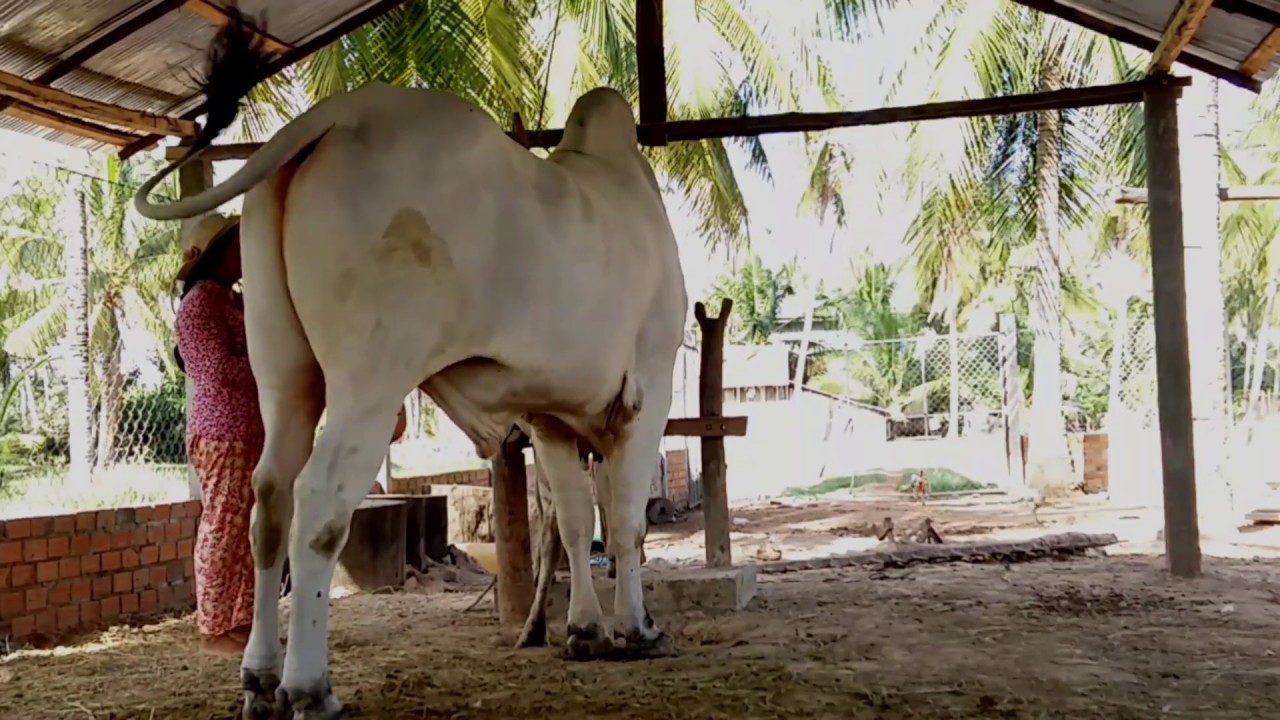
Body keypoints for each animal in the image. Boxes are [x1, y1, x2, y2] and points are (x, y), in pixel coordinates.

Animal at [131, 16, 687, 720]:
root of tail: (342, 112)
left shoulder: (549, 414)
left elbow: (573, 521)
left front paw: (585, 633)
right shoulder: (650, 390)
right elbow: (625, 522)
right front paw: (638, 629)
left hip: (284, 372)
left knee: (269, 499)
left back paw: (260, 680)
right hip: (373, 372)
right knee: (319, 503)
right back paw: (311, 689)